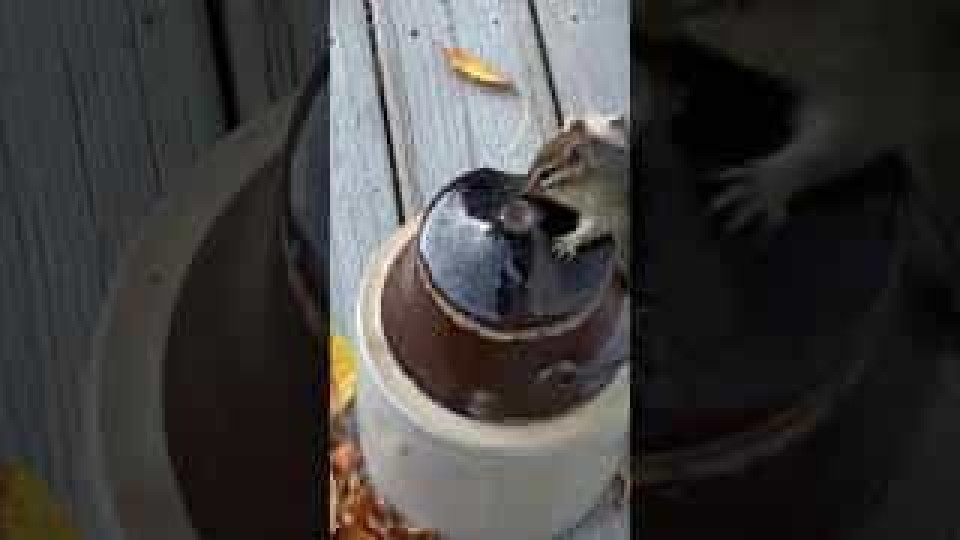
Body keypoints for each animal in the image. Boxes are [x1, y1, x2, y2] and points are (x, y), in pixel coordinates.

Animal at [524, 114, 632, 288]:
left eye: (546, 174)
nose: (524, 191)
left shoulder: (610, 205)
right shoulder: (595, 210)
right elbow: (588, 227)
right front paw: (571, 240)